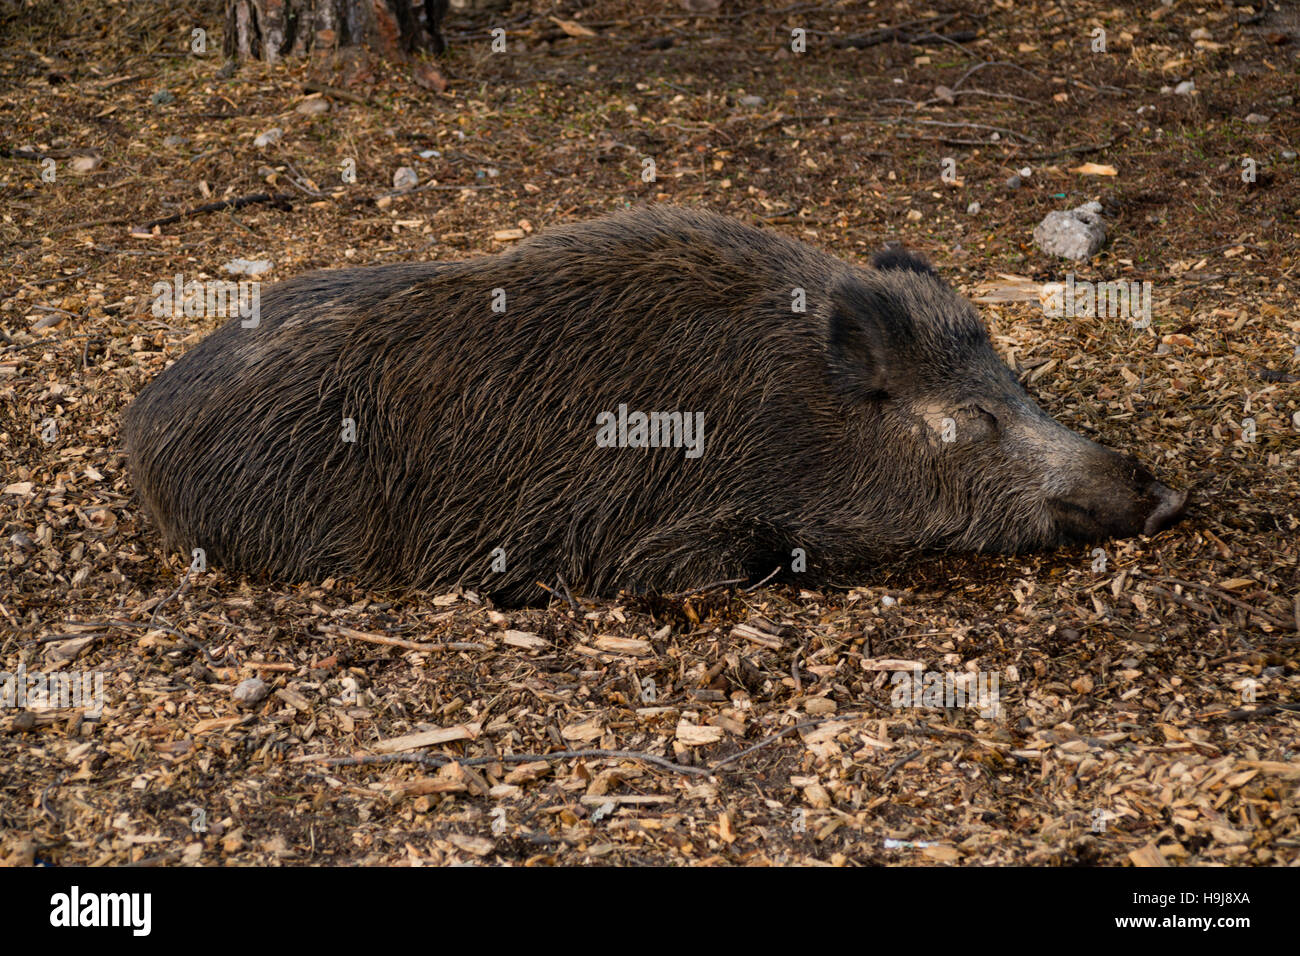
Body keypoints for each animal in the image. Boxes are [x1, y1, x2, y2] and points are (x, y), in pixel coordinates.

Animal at [122, 206, 1186, 604]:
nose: (1169, 494)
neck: (808, 420)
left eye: (1019, 385)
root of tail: (140, 421)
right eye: (975, 418)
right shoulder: (668, 539)